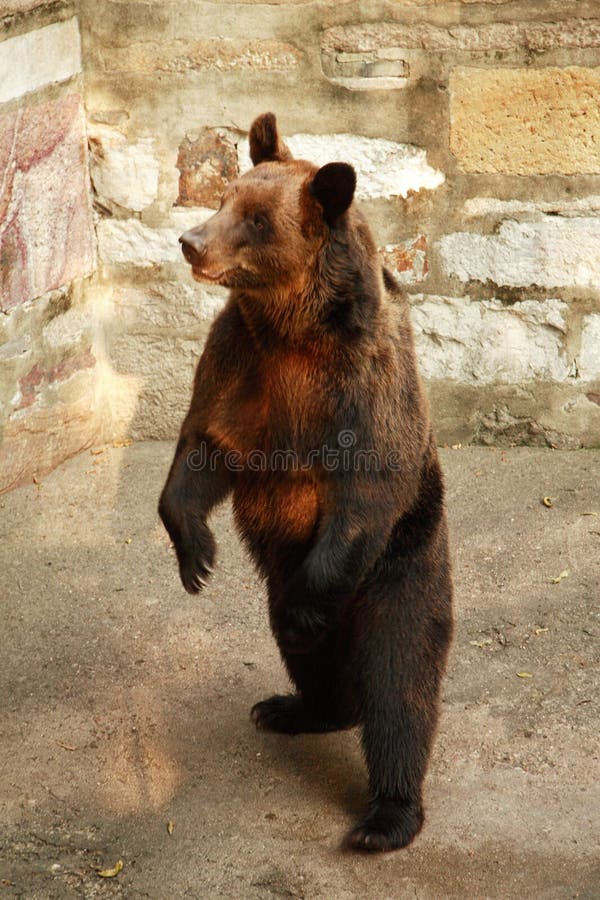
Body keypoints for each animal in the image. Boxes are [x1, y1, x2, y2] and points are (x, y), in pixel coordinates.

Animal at [159, 112, 453, 852]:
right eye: (228, 194)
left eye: (257, 219)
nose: (190, 240)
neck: (293, 330)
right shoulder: (240, 367)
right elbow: (203, 448)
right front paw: (197, 556)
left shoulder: (363, 388)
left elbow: (364, 494)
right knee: (320, 669)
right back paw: (293, 706)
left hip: (400, 570)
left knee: (398, 684)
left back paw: (386, 817)